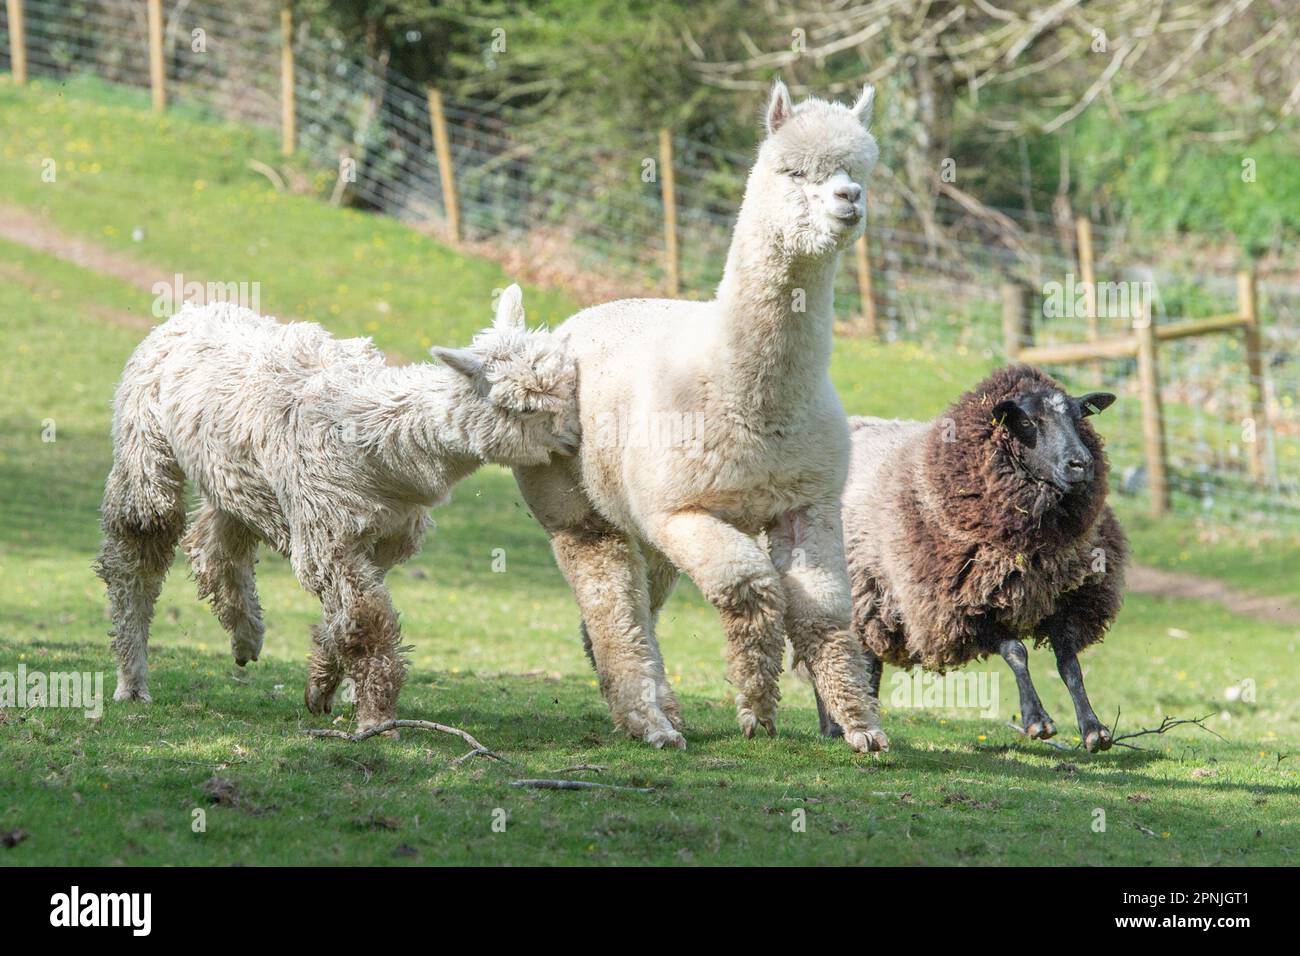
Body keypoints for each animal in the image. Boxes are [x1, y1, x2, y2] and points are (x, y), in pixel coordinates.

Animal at [94, 285, 578, 731]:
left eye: (571, 385)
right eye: (523, 405)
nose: (575, 438)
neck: (380, 451)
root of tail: (195, 310)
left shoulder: (380, 539)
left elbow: (350, 618)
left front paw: (322, 684)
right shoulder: (329, 532)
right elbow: (364, 624)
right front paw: (375, 718)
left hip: (240, 476)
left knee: (215, 543)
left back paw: (246, 638)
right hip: (145, 442)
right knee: (138, 547)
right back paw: (133, 683)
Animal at [512, 80, 887, 752]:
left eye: (860, 173)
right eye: (793, 171)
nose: (849, 200)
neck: (753, 404)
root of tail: (565, 328)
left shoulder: (808, 501)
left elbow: (821, 609)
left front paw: (860, 725)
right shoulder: (683, 508)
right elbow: (751, 588)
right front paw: (758, 706)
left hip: (642, 525)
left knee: (640, 605)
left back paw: (654, 706)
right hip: (577, 507)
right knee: (614, 604)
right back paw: (650, 723)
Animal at [827, 364, 1127, 752]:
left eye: (1079, 417)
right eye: (1027, 421)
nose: (1082, 464)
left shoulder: (1067, 599)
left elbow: (1069, 664)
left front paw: (1094, 729)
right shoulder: (963, 609)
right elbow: (1016, 650)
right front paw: (1037, 721)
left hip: (873, 602)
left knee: (868, 662)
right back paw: (836, 726)